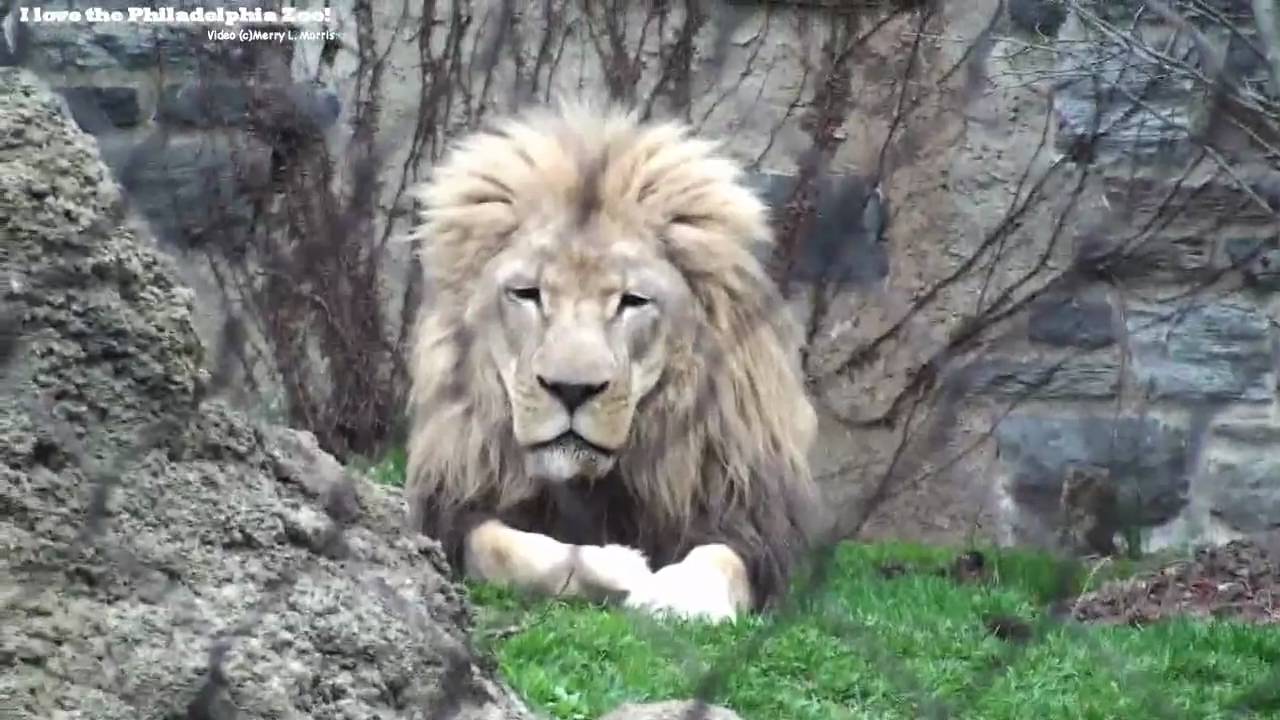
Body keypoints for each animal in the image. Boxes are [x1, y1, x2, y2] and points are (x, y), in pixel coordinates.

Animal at [403, 103, 823, 623]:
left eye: (632, 301)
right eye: (528, 293)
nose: (571, 389)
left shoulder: (743, 519)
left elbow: (721, 560)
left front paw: (678, 595)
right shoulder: (456, 510)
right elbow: (506, 549)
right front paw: (622, 568)